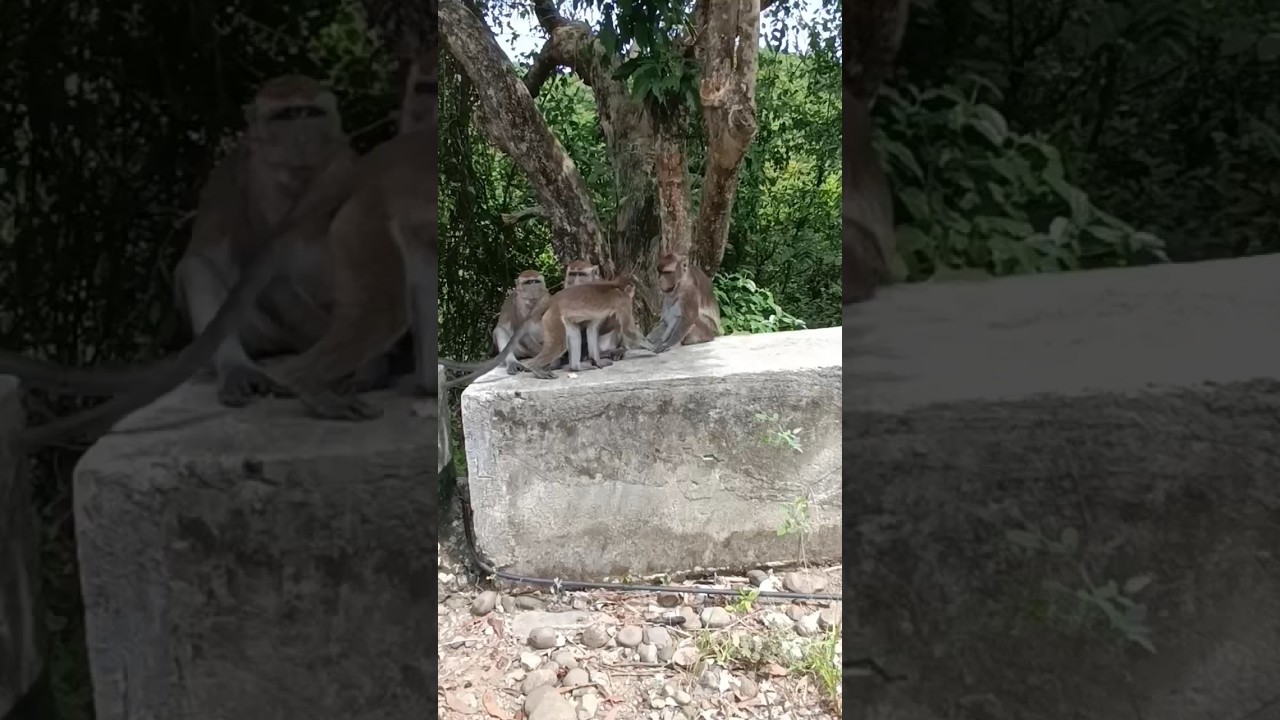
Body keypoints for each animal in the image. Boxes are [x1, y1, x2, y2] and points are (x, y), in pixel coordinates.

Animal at [514, 276, 660, 379]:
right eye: (632, 288)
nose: (634, 292)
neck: (616, 285)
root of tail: (553, 300)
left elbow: (592, 329)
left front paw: (598, 361)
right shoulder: (623, 301)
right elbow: (628, 329)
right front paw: (655, 347)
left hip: (562, 319)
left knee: (574, 332)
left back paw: (576, 367)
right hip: (553, 318)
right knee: (559, 346)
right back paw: (536, 368)